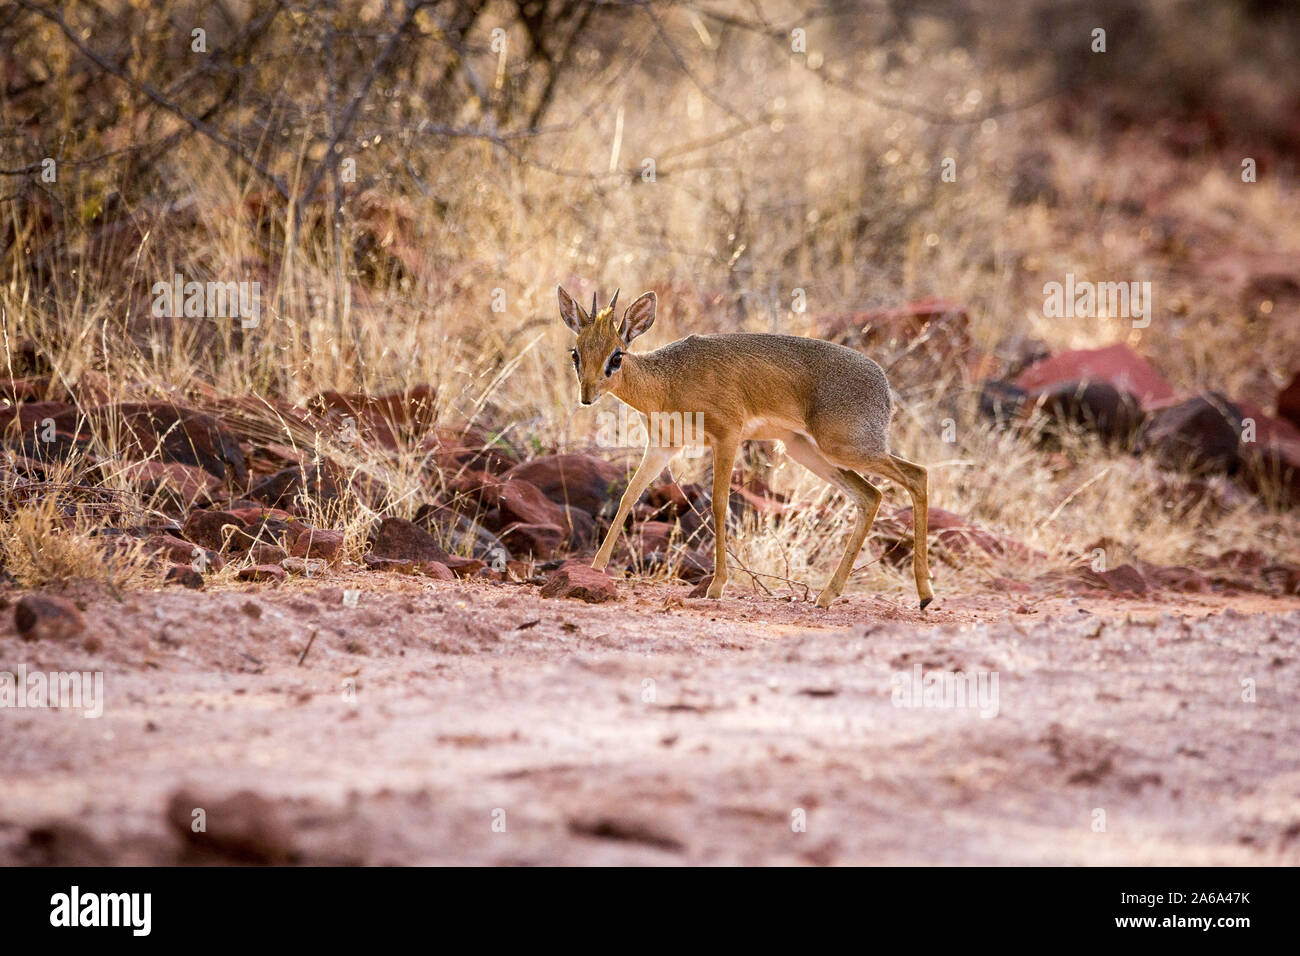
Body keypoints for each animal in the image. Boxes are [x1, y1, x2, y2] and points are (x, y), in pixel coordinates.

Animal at [558, 286, 934, 610]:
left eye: (616, 356)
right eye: (576, 353)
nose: (587, 396)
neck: (667, 384)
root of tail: (884, 384)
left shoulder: (727, 435)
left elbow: (719, 504)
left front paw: (716, 586)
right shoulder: (663, 447)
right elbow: (629, 496)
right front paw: (596, 566)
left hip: (846, 448)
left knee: (917, 475)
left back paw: (925, 594)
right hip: (807, 452)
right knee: (871, 496)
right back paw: (828, 596)